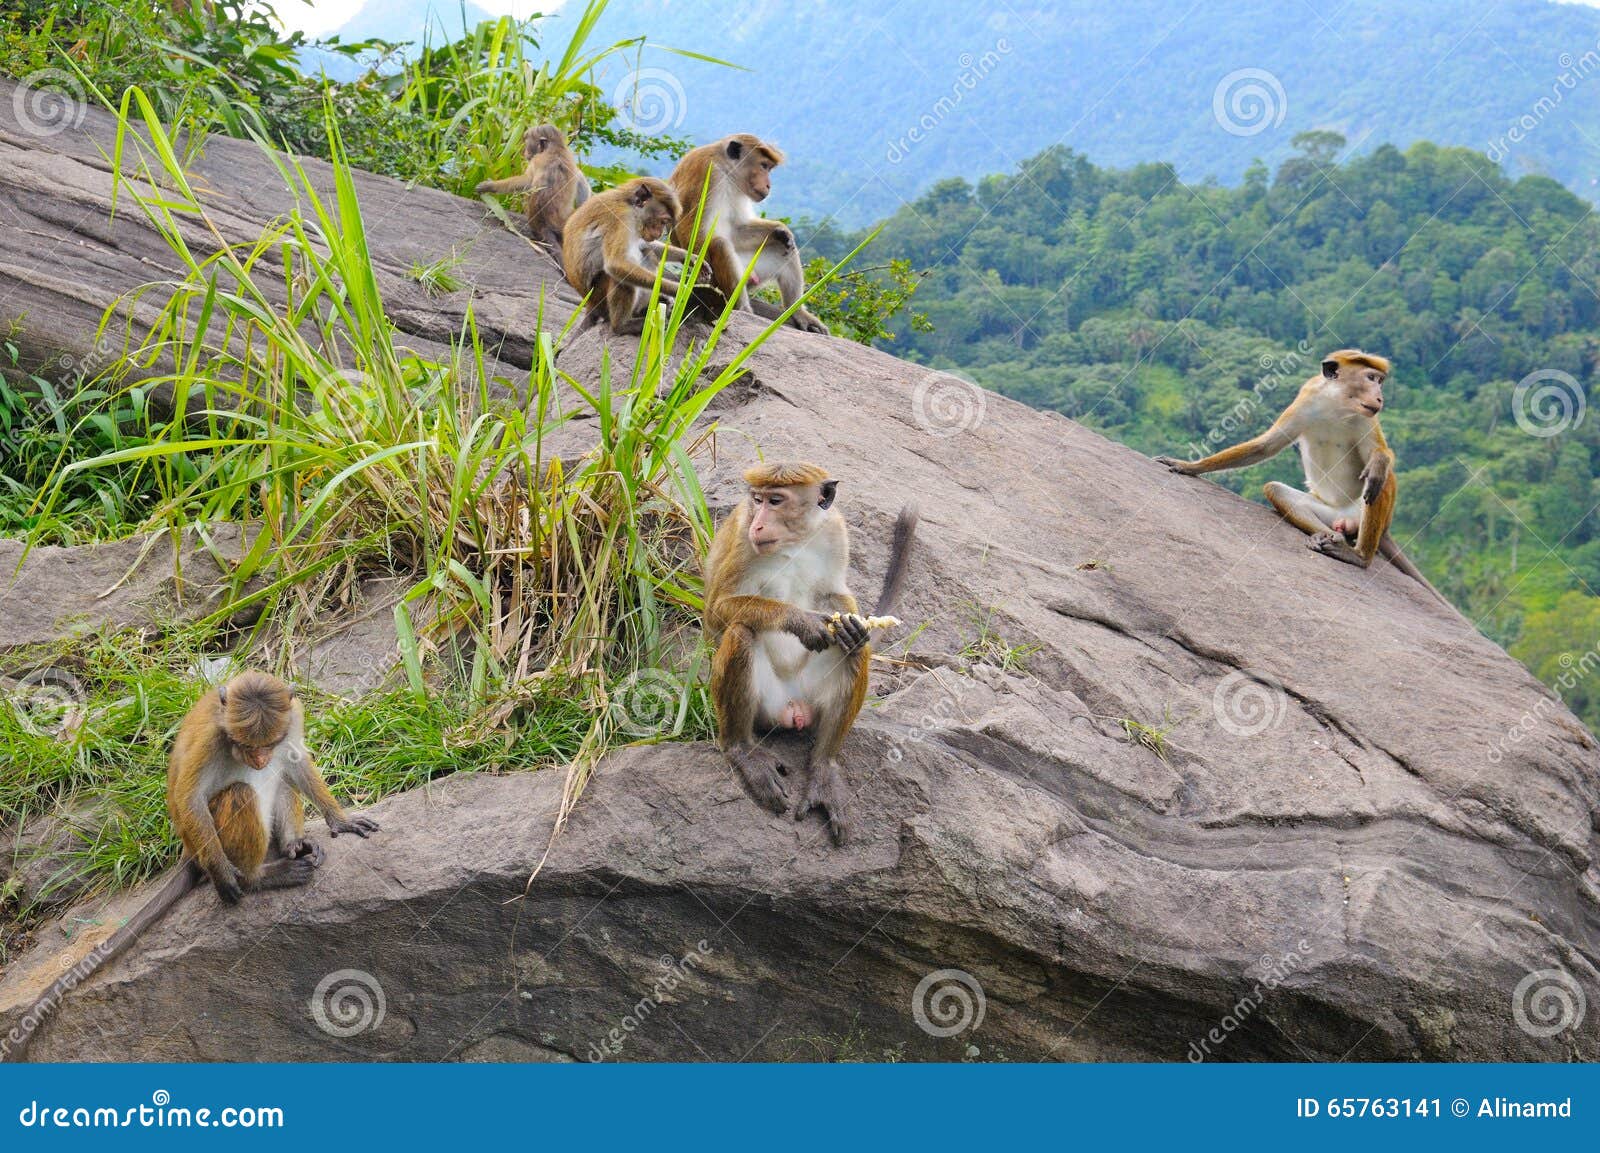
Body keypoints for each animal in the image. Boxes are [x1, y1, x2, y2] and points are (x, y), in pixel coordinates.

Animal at [1, 671, 377, 1062]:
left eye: (268, 741)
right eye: (244, 742)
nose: (259, 758)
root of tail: (189, 851)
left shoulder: (294, 716)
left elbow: (295, 758)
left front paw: (340, 820)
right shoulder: (213, 737)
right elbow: (190, 797)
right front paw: (228, 878)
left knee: (281, 772)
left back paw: (291, 845)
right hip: (209, 841)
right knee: (239, 793)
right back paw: (258, 877)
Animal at [561, 176, 727, 336]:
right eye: (663, 220)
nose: (660, 233)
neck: (629, 204)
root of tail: (590, 304)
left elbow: (644, 245)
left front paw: (693, 259)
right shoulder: (622, 217)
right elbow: (617, 264)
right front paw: (688, 292)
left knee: (647, 253)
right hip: (599, 297)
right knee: (621, 277)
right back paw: (622, 326)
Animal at [669, 134, 829, 336]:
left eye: (769, 168)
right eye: (763, 166)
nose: (768, 185)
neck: (726, 169)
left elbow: (738, 229)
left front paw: (780, 229)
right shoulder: (708, 174)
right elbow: (690, 230)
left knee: (783, 249)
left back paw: (797, 311)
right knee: (720, 244)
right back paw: (741, 310)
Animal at [703, 462, 917, 844]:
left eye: (775, 501)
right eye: (756, 500)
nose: (759, 523)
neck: (795, 541)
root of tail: (793, 711)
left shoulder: (835, 530)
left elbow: (835, 593)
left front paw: (852, 626)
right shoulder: (743, 538)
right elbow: (717, 610)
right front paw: (799, 619)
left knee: (855, 652)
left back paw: (823, 768)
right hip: (766, 705)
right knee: (741, 631)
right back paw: (742, 749)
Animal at [1155, 349, 1447, 604]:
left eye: (1379, 381)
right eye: (1371, 378)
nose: (1380, 397)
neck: (1337, 403)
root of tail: (1345, 517)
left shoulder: (1366, 416)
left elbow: (1379, 455)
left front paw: (1379, 461)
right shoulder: (1306, 400)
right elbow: (1265, 446)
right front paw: (1190, 466)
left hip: (1363, 512)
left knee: (1380, 480)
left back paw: (1360, 555)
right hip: (1328, 511)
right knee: (1277, 490)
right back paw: (1326, 536)